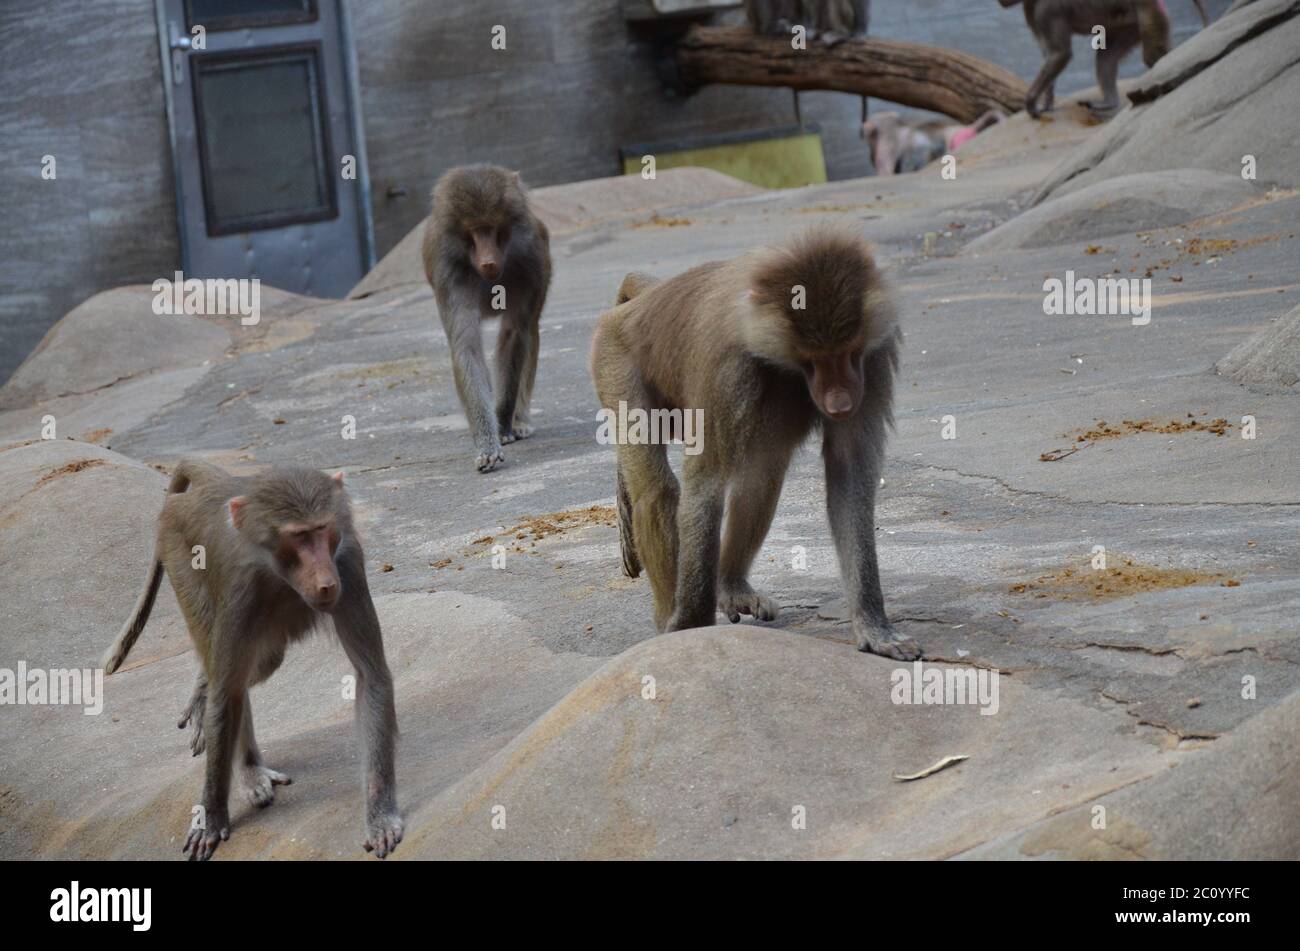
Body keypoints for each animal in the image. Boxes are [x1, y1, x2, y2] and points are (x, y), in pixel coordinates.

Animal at [102, 460, 402, 861]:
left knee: (257, 664)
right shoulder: (240, 589)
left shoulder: (348, 565)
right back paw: (240, 762)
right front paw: (211, 815)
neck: (280, 573)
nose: (326, 582)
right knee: (229, 676)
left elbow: (370, 676)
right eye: (299, 536)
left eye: (322, 529)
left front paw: (380, 814)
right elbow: (226, 692)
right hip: (179, 554)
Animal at [422, 165, 552, 473]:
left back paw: (520, 419)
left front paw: (503, 425)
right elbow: (466, 346)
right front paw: (486, 442)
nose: (488, 261)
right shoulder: (449, 274)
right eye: (473, 231)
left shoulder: (531, 262)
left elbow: (514, 334)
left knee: (530, 331)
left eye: (492, 228)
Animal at [590, 227, 919, 661]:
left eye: (847, 352)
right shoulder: (727, 369)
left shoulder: (873, 356)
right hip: (614, 357)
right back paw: (666, 619)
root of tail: (636, 307)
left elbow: (849, 482)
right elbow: (706, 483)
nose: (841, 403)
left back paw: (731, 588)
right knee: (658, 489)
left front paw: (874, 626)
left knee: (762, 476)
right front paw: (689, 626)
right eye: (813, 359)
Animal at [999, 0, 1171, 120]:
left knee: (1151, 56)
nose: (1001, 1)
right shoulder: (1032, 9)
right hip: (1129, 26)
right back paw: (1109, 102)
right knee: (1105, 56)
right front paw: (1047, 104)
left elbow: (1060, 54)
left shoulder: (1046, 10)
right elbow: (1050, 54)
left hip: (1147, 8)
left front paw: (1030, 102)